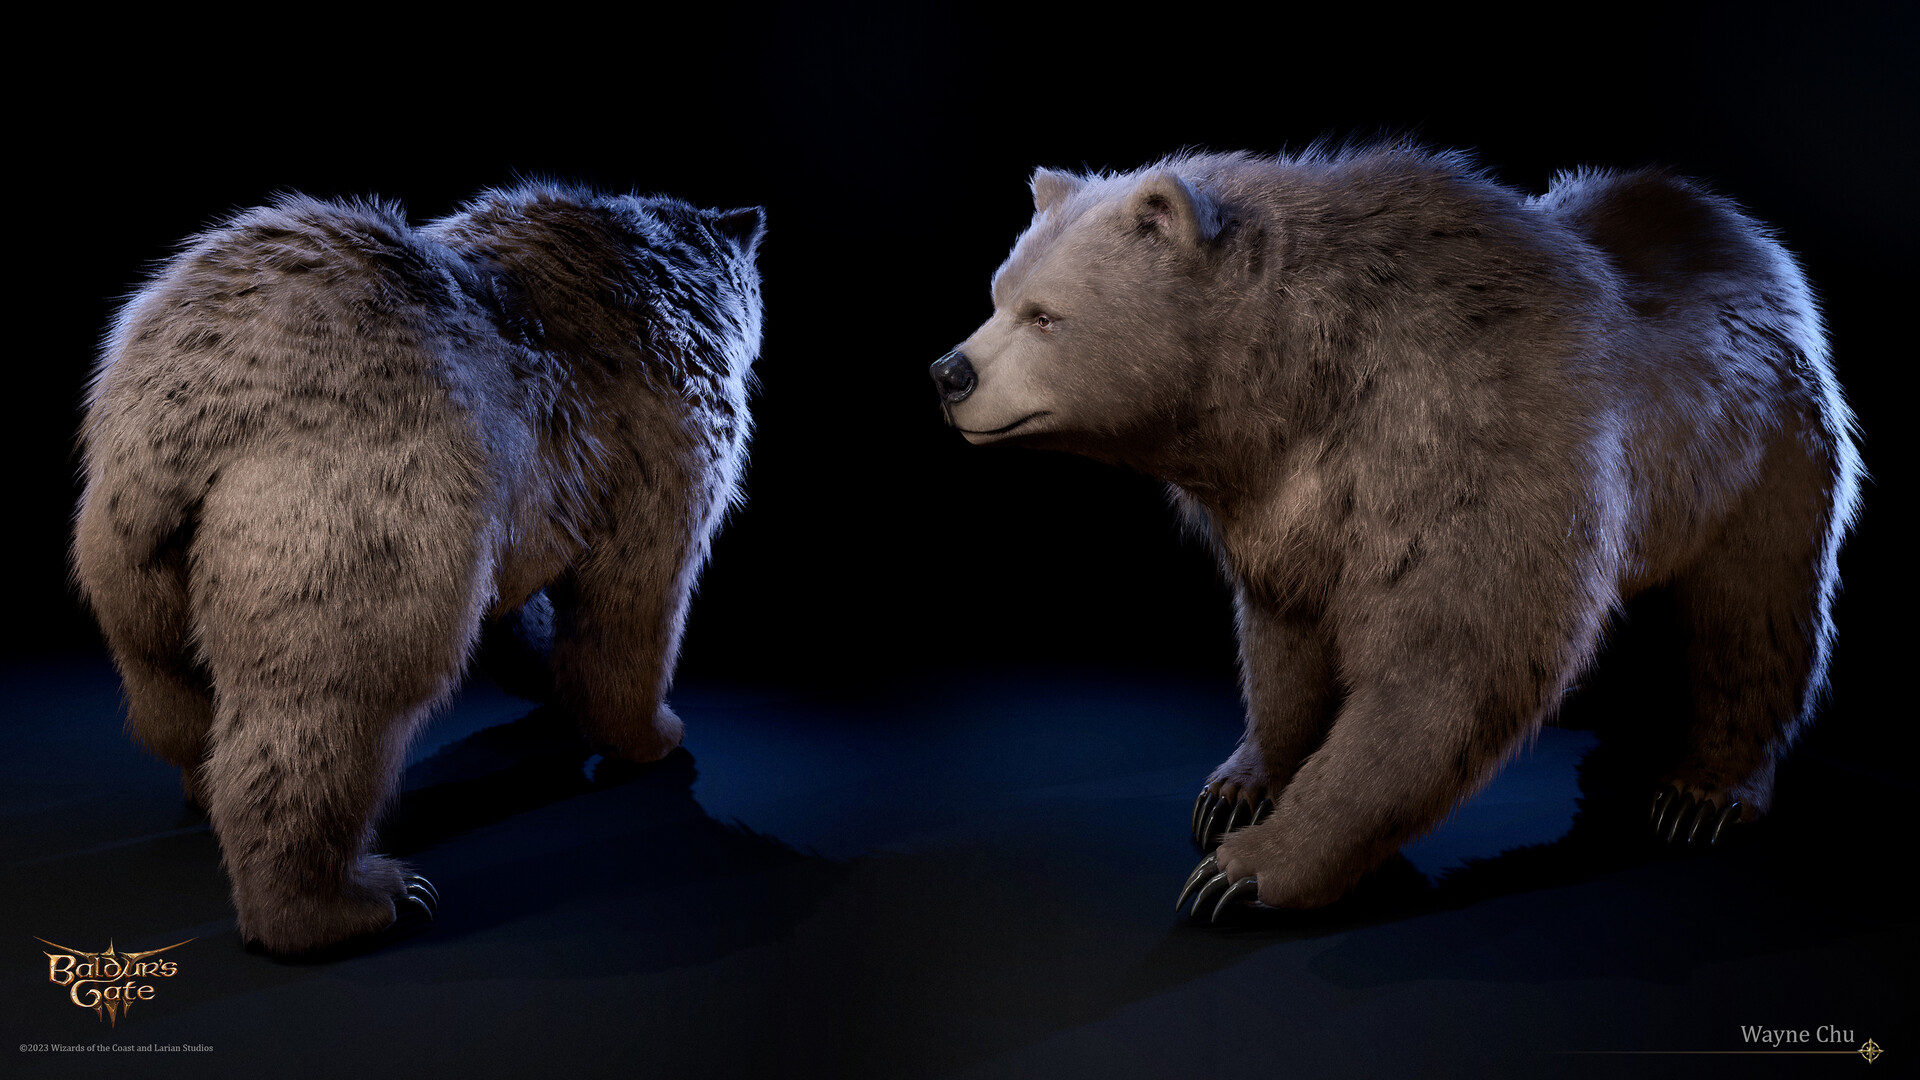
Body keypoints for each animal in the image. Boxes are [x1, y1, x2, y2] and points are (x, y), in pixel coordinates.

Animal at [74, 182, 765, 954]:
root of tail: (192, 408)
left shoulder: (530, 491)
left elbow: (521, 609)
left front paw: (550, 674)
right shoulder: (653, 438)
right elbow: (635, 601)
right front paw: (652, 731)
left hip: (125, 549)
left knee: (170, 688)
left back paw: (203, 789)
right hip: (364, 494)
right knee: (329, 704)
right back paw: (352, 901)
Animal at [929, 143, 1860, 921]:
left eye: (1045, 315)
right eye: (998, 293)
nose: (949, 372)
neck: (1299, 386)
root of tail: (1746, 238)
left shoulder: (1467, 440)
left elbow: (1452, 658)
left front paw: (1246, 869)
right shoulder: (1282, 507)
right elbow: (1284, 641)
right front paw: (1238, 784)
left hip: (1758, 452)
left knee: (1755, 615)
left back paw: (1704, 791)